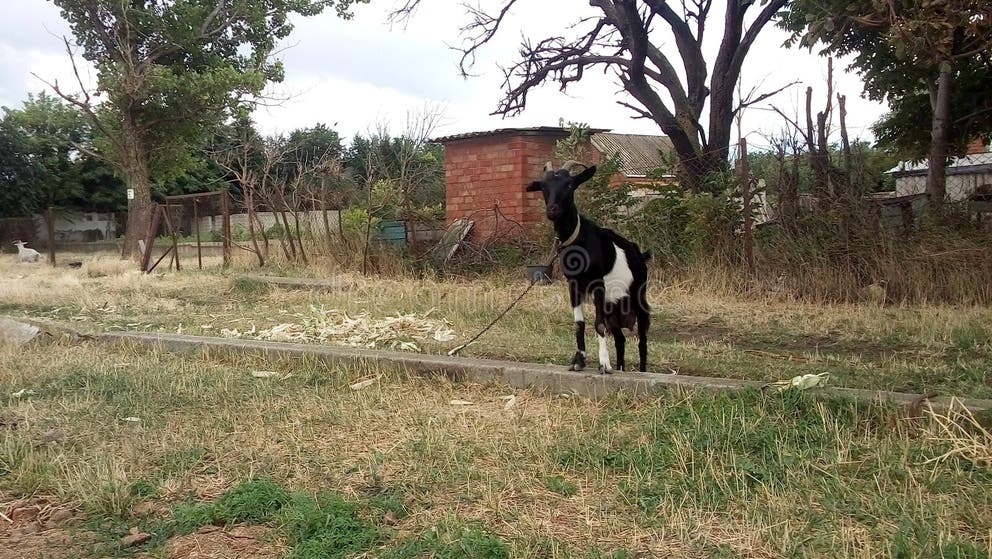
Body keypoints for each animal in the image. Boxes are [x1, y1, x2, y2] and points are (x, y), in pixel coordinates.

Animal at [526, 161, 651, 374]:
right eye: (543, 186)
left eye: (570, 185)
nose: (552, 210)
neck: (578, 239)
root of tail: (639, 254)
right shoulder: (573, 285)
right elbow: (579, 323)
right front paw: (579, 360)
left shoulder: (597, 283)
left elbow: (598, 325)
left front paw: (604, 364)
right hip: (613, 309)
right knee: (620, 340)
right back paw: (620, 368)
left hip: (638, 298)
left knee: (642, 341)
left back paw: (641, 370)